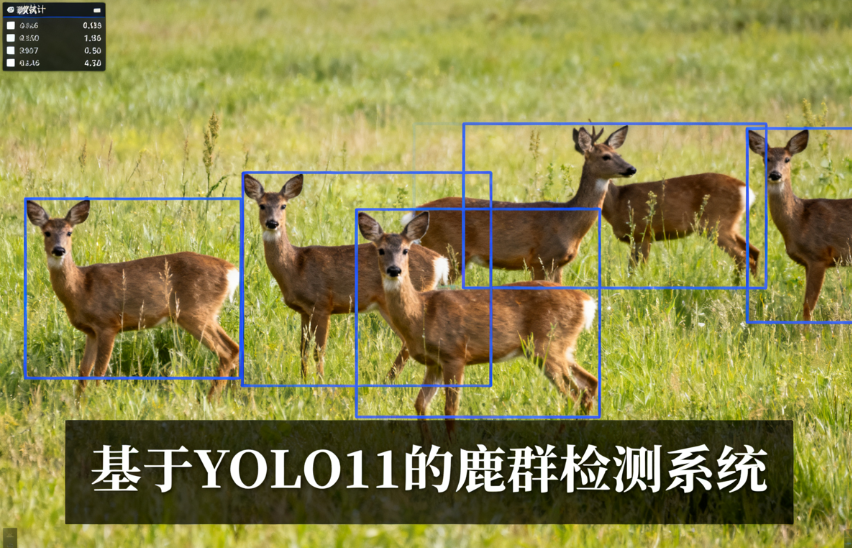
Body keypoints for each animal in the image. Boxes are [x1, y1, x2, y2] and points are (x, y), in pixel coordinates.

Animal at [26, 200, 240, 399]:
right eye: (46, 232)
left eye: (69, 232)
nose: (59, 250)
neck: (81, 288)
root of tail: (231, 271)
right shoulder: (91, 332)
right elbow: (83, 373)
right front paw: (78, 404)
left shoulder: (108, 324)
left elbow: (99, 372)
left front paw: (95, 402)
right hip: (205, 313)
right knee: (235, 349)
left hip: (194, 311)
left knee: (227, 351)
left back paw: (210, 399)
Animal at [243, 174, 450, 380]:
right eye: (261, 205)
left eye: (283, 205)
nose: (272, 223)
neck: (296, 266)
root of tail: (439, 261)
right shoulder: (304, 311)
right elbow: (303, 349)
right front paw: (303, 380)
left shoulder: (322, 304)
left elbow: (319, 350)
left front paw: (320, 383)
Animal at [358, 211, 598, 442]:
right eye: (380, 250)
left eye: (406, 250)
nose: (394, 270)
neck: (421, 314)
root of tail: (587, 302)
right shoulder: (434, 363)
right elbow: (420, 404)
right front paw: (427, 445)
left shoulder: (454, 354)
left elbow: (450, 410)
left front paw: (452, 446)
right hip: (560, 348)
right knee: (589, 384)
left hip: (547, 345)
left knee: (572, 396)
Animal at [408, 125, 636, 284]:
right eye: (606, 156)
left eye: (620, 154)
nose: (632, 168)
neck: (567, 220)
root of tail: (416, 211)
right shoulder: (541, 260)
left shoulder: (558, 265)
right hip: (448, 251)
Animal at [748, 129, 852, 321]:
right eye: (766, 158)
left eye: (787, 159)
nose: (775, 174)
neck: (799, 221)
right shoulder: (807, 263)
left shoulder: (819, 257)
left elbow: (808, 306)